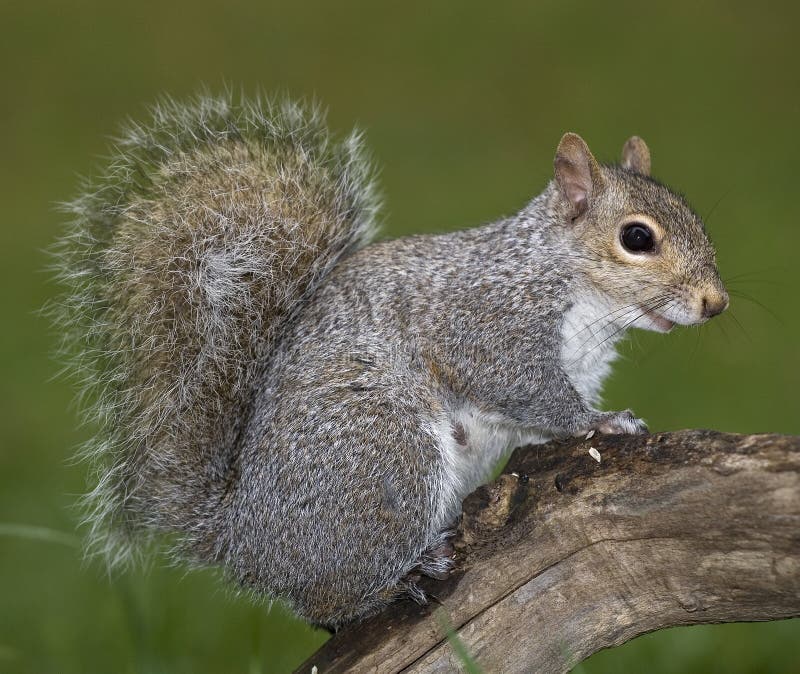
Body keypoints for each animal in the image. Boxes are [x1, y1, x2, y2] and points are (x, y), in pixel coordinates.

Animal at [54, 94, 729, 630]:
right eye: (637, 238)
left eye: (697, 218)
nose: (715, 302)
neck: (566, 280)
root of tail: (244, 543)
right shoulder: (488, 330)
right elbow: (533, 393)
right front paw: (603, 422)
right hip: (387, 453)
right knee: (328, 597)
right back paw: (398, 577)